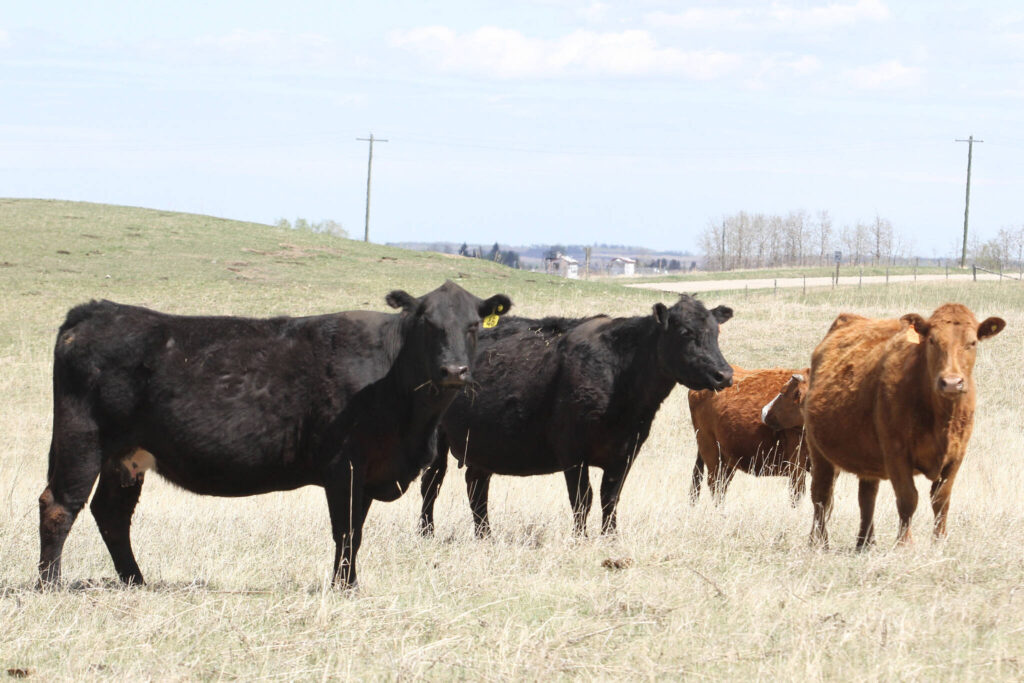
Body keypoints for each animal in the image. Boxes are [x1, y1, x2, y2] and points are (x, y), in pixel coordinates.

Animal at [38, 281, 512, 589]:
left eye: (474, 325)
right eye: (427, 323)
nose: (454, 370)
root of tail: (96, 310)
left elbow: (354, 532)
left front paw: (347, 584)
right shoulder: (345, 467)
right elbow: (347, 532)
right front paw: (345, 587)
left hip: (127, 455)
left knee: (111, 514)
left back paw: (136, 580)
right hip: (83, 439)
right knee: (59, 506)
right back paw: (50, 584)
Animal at [419, 295, 734, 538]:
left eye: (716, 333)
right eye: (685, 333)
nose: (725, 374)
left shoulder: (626, 451)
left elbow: (610, 498)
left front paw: (610, 537)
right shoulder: (571, 451)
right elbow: (582, 499)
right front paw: (580, 538)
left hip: (481, 442)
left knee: (476, 485)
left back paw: (485, 536)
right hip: (436, 437)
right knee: (432, 484)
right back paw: (427, 533)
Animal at [688, 367, 809, 503]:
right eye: (782, 391)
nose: (764, 412)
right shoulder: (797, 464)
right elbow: (797, 495)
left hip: (728, 461)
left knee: (721, 486)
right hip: (712, 453)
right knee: (716, 487)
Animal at [802, 304, 1004, 549]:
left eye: (972, 342)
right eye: (932, 340)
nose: (951, 382)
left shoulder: (957, 455)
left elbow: (941, 499)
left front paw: (940, 541)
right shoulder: (896, 452)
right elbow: (908, 498)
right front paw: (904, 544)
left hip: (867, 458)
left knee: (866, 497)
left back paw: (865, 543)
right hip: (818, 451)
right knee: (821, 496)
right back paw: (818, 542)